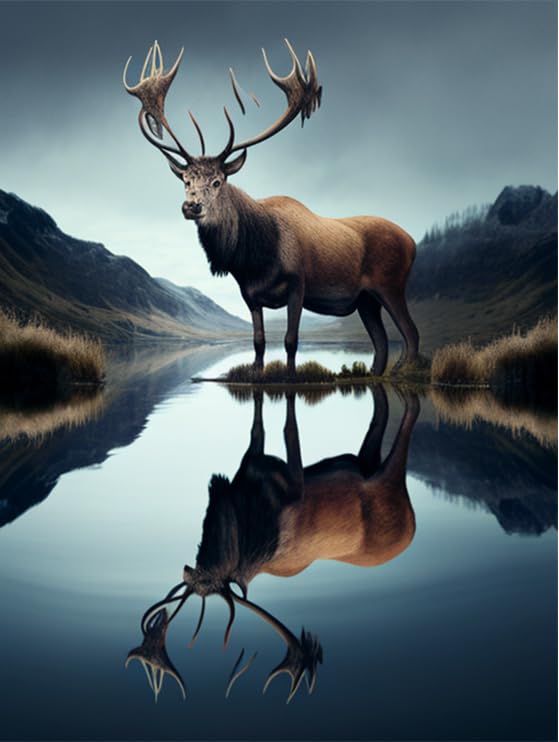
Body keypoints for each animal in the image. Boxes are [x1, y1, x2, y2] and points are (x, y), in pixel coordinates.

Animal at [123, 40, 419, 376]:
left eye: (218, 181)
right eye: (186, 180)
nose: (191, 206)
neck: (255, 258)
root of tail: (412, 241)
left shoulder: (298, 284)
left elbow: (290, 340)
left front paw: (290, 376)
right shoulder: (249, 295)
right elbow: (259, 342)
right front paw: (257, 371)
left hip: (390, 285)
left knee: (411, 334)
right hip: (366, 300)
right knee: (381, 343)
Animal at [127, 386, 419, 701]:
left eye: (210, 582)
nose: (193, 575)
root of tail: (412, 527)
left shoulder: (292, 484)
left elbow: (289, 430)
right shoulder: (252, 462)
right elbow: (258, 427)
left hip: (388, 478)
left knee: (408, 418)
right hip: (366, 460)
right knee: (380, 416)